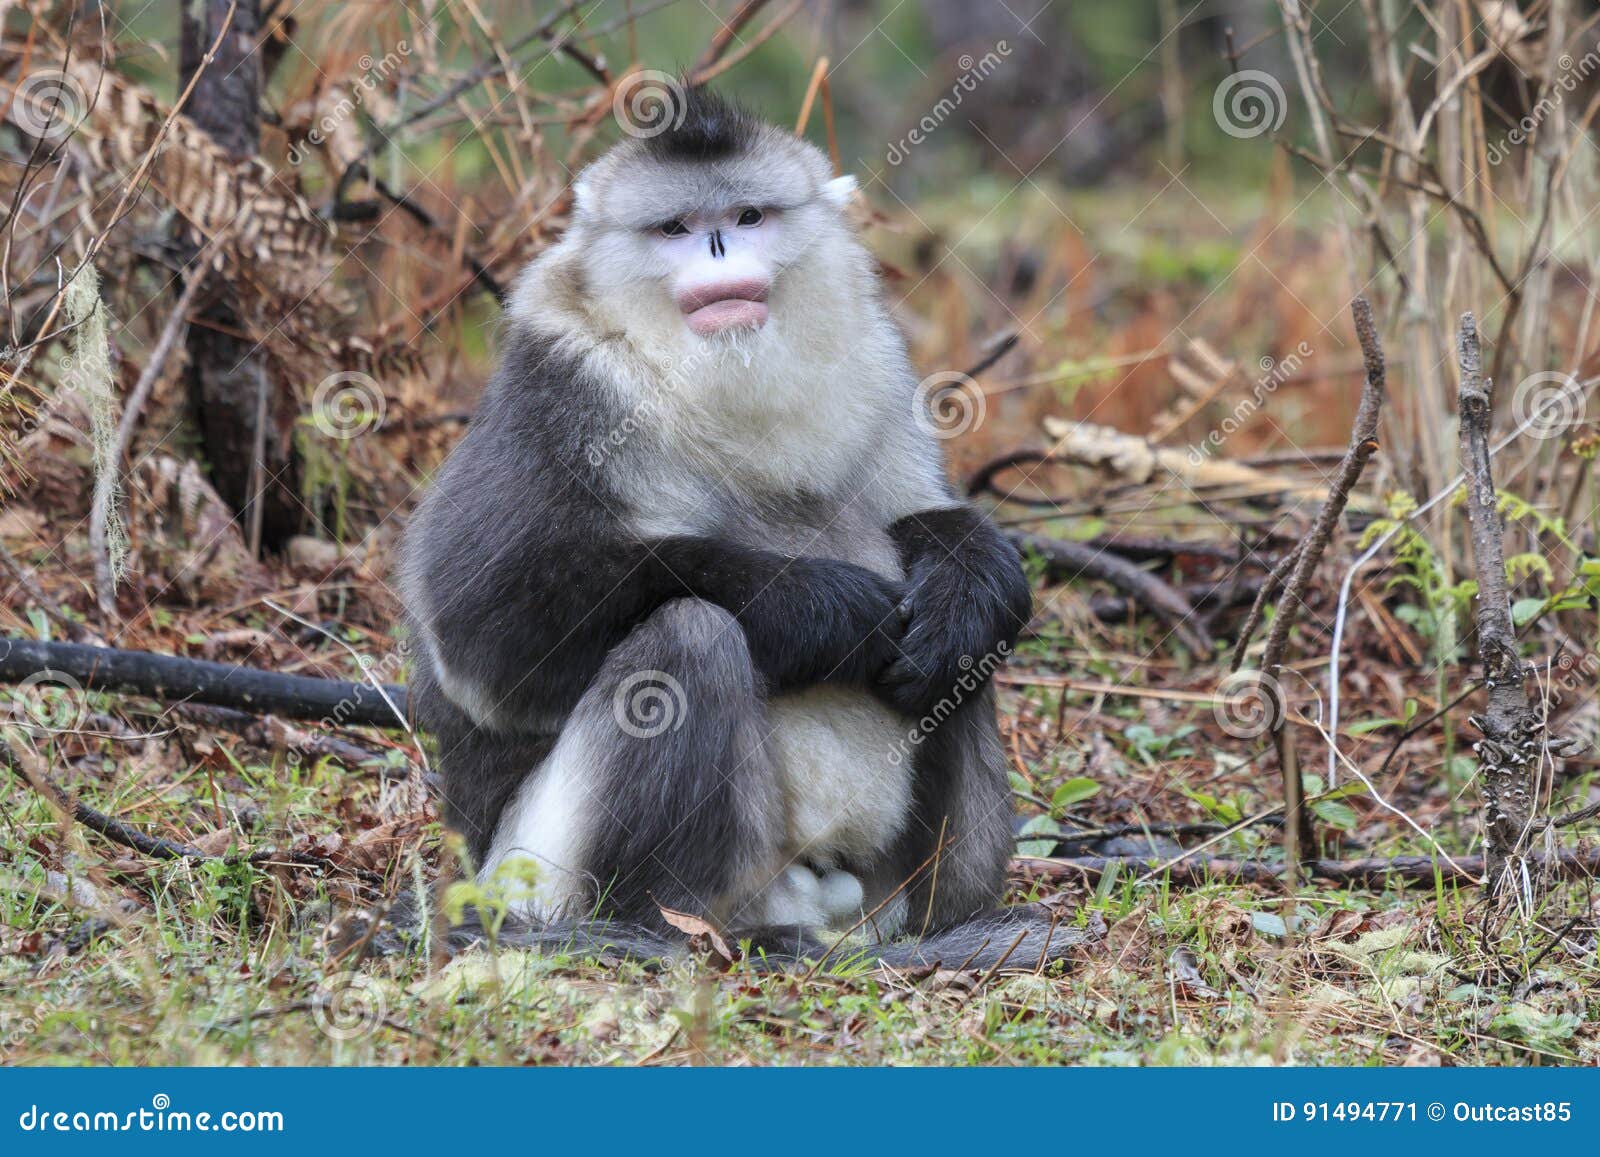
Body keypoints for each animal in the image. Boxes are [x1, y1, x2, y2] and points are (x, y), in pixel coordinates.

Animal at [399, 86, 1065, 969]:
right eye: (677, 228)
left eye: (748, 215)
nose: (718, 246)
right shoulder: (561, 380)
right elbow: (479, 627)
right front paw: (819, 610)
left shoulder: (879, 363)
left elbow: (924, 525)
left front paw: (969, 586)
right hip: (533, 876)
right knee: (691, 636)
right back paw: (663, 929)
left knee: (963, 663)